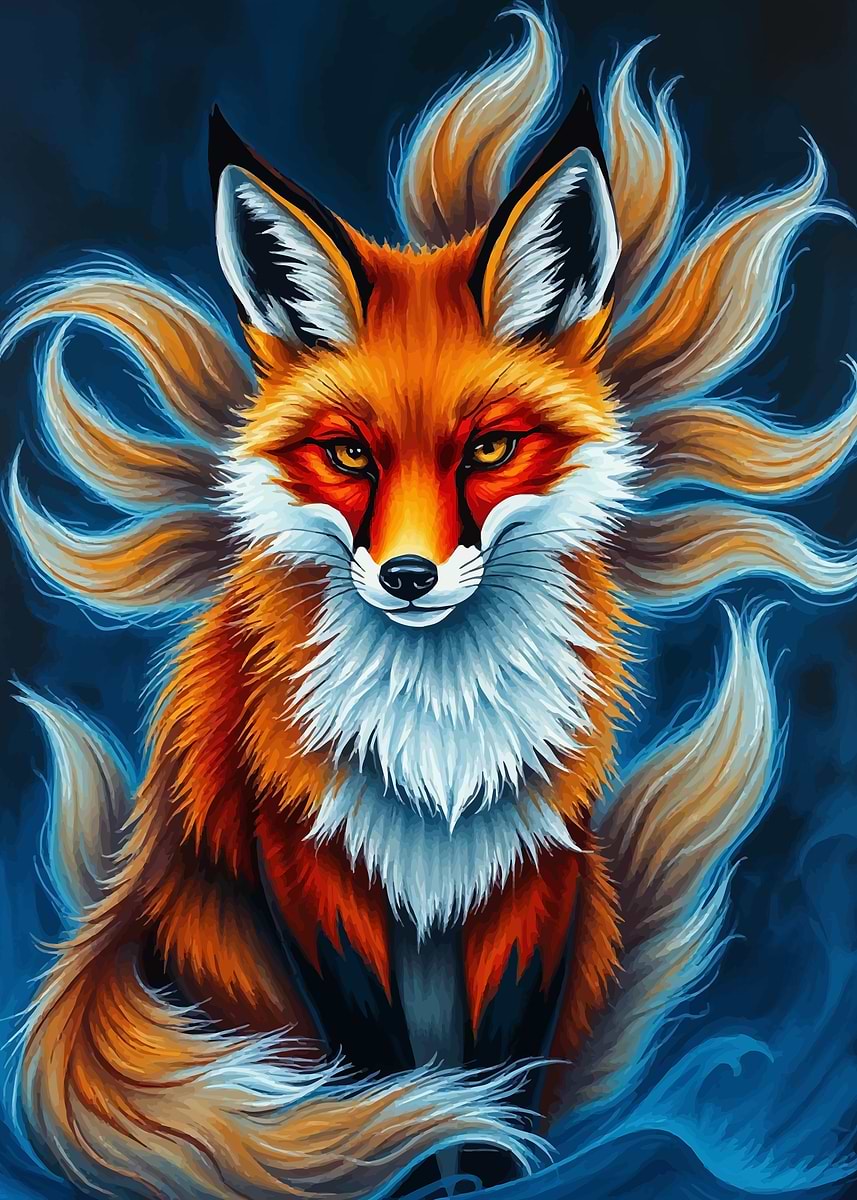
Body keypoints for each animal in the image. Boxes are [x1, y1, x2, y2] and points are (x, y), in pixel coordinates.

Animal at [5, 7, 857, 1199]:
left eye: (489, 450)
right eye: (349, 455)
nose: (406, 578)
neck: (438, 737)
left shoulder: (533, 865)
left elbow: (507, 1056)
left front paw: (504, 1166)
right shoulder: (306, 867)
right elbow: (372, 1065)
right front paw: (409, 1157)